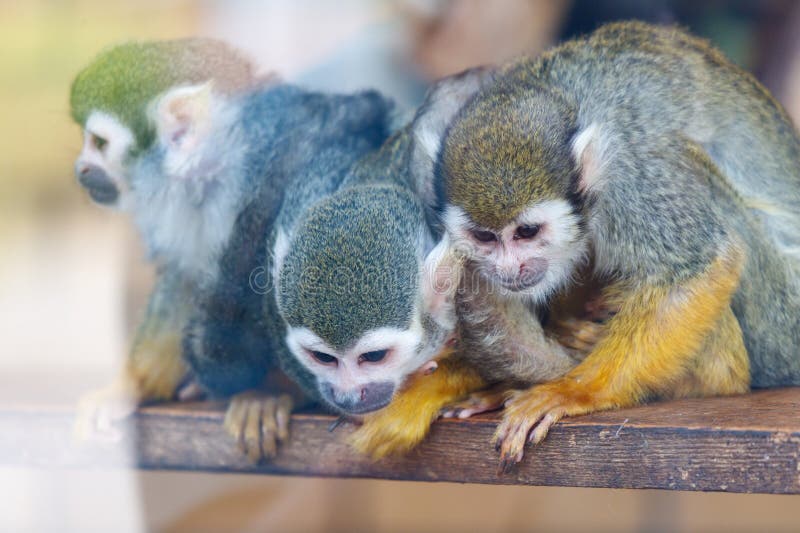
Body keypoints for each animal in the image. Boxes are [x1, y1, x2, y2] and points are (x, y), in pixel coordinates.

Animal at [415, 21, 800, 468]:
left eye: (527, 232)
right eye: (484, 237)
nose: (509, 270)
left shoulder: (631, 172)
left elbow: (701, 264)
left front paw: (573, 390)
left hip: (780, 323)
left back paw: (714, 377)